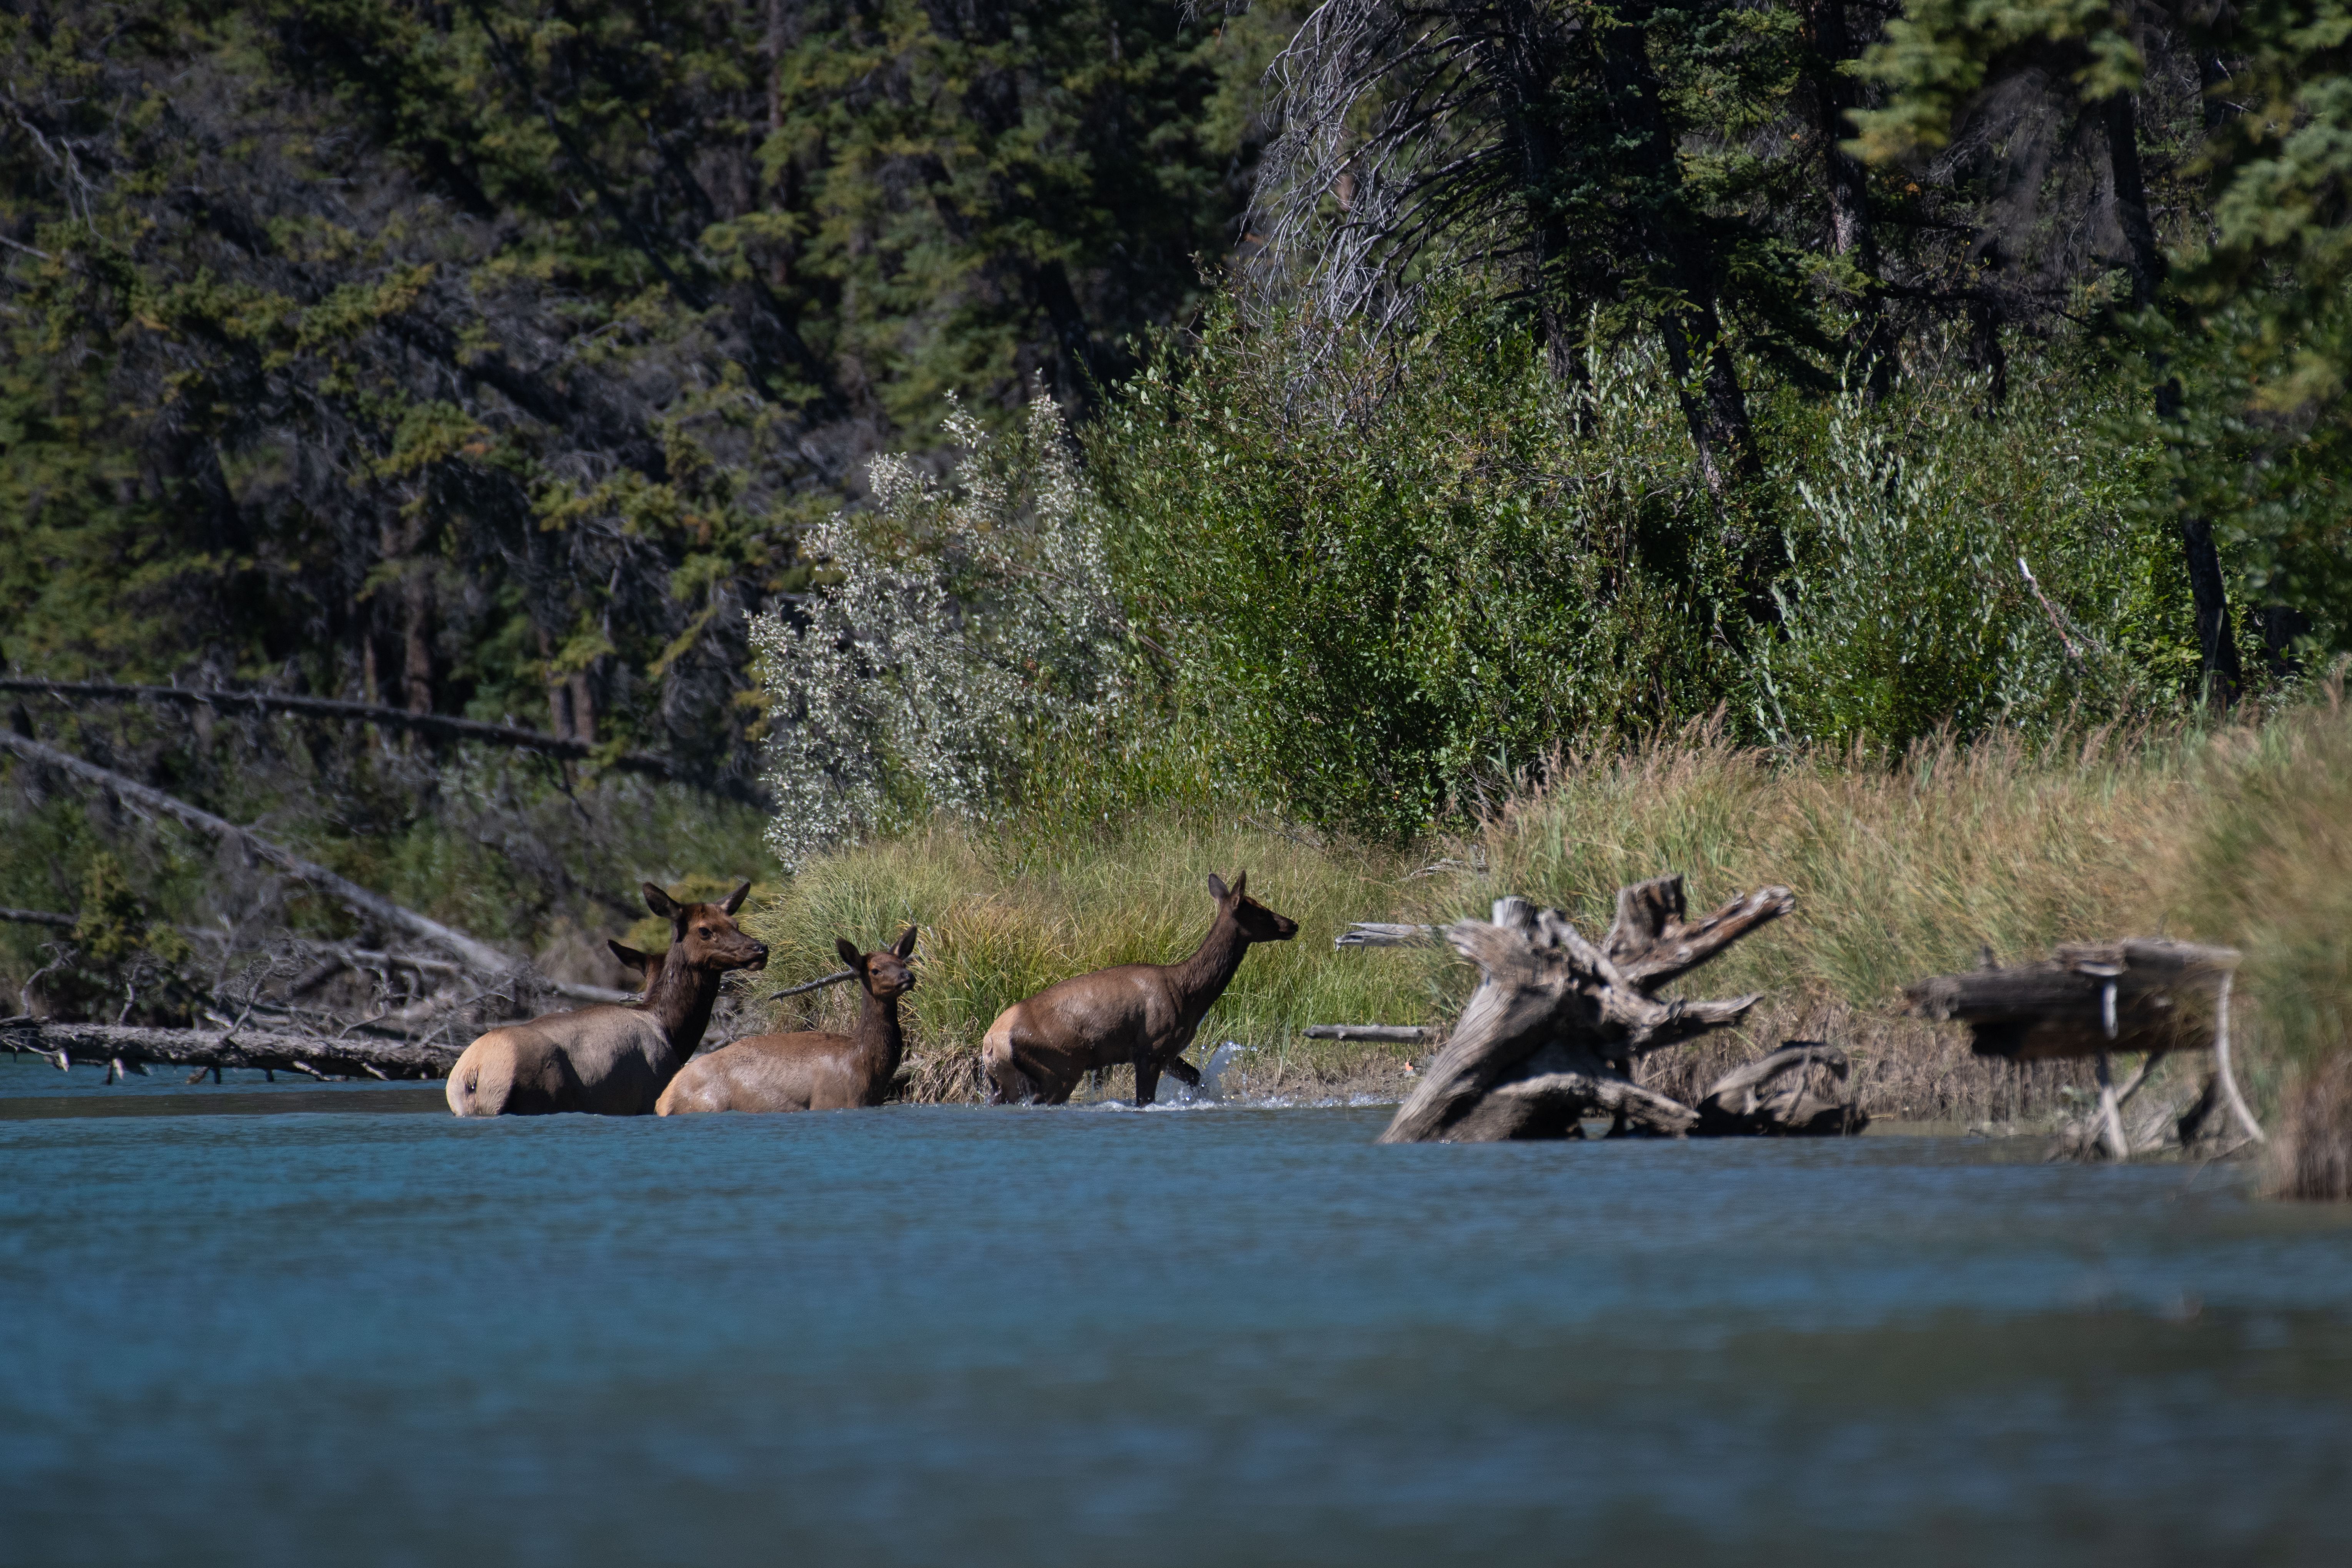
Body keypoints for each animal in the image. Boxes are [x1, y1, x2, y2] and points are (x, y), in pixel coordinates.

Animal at [445, 882, 768, 1116]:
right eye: (704, 930)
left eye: (735, 923)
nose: (759, 949)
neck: (672, 1032)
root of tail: (475, 1074)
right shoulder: (652, 1091)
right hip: (540, 1096)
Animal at [656, 926, 919, 1115]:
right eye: (875, 970)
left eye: (902, 962)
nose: (908, 976)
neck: (865, 1064)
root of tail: (664, 1099)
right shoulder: (834, 1099)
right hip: (706, 1103)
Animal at [982, 871, 1297, 1106]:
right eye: (1259, 910)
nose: (1292, 924)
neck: (1191, 996)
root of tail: (991, 1042)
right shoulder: (1152, 1048)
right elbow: (1144, 1100)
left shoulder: (1168, 1052)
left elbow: (1197, 1077)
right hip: (1061, 1068)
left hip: (1007, 1082)